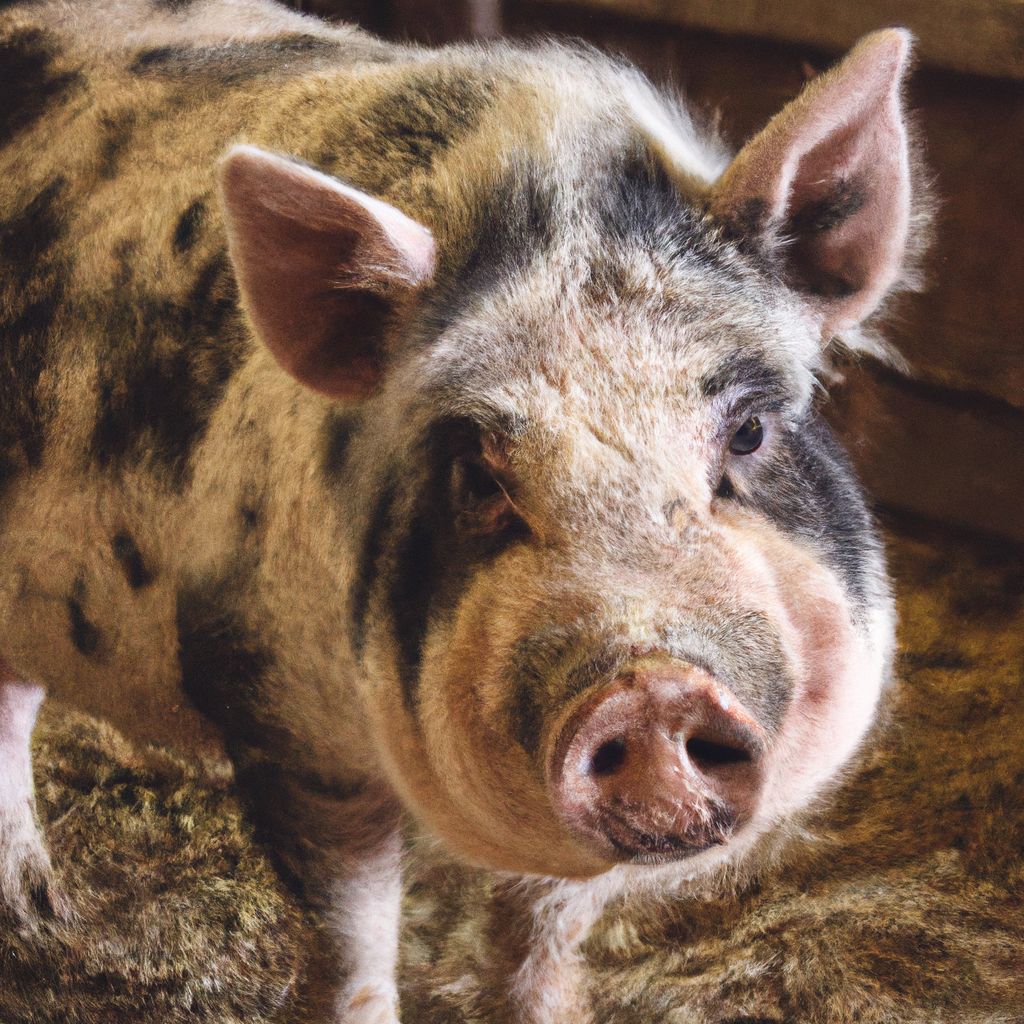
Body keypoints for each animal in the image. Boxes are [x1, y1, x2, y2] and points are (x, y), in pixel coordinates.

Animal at [0, 1, 929, 1020]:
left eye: (752, 431)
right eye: (480, 474)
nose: (651, 689)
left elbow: (540, 942)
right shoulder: (282, 725)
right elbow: (353, 946)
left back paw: (43, 913)